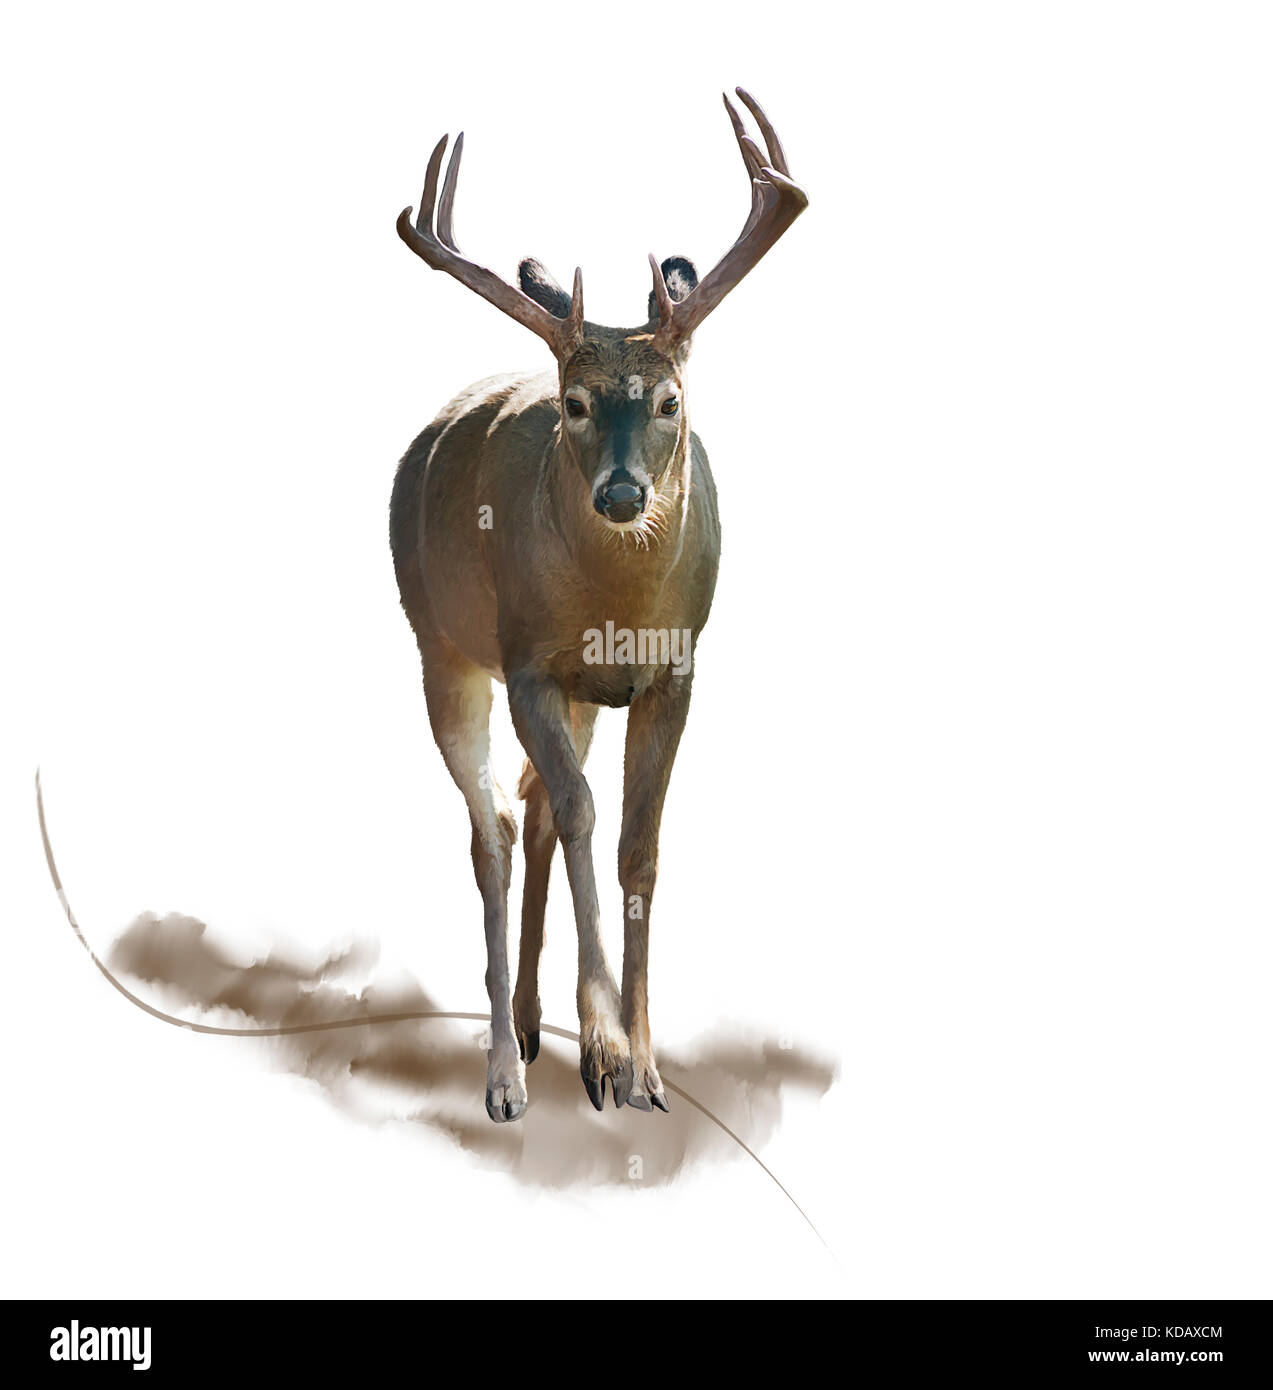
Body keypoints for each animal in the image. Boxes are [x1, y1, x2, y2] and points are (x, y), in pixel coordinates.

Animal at [390, 89, 807, 1122]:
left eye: (668, 400)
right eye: (575, 404)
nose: (621, 495)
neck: (615, 602)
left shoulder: (675, 672)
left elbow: (635, 846)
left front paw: (643, 1063)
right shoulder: (529, 664)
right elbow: (582, 818)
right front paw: (610, 1046)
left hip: (572, 693)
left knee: (531, 806)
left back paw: (540, 1028)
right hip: (441, 646)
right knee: (494, 828)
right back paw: (505, 1069)